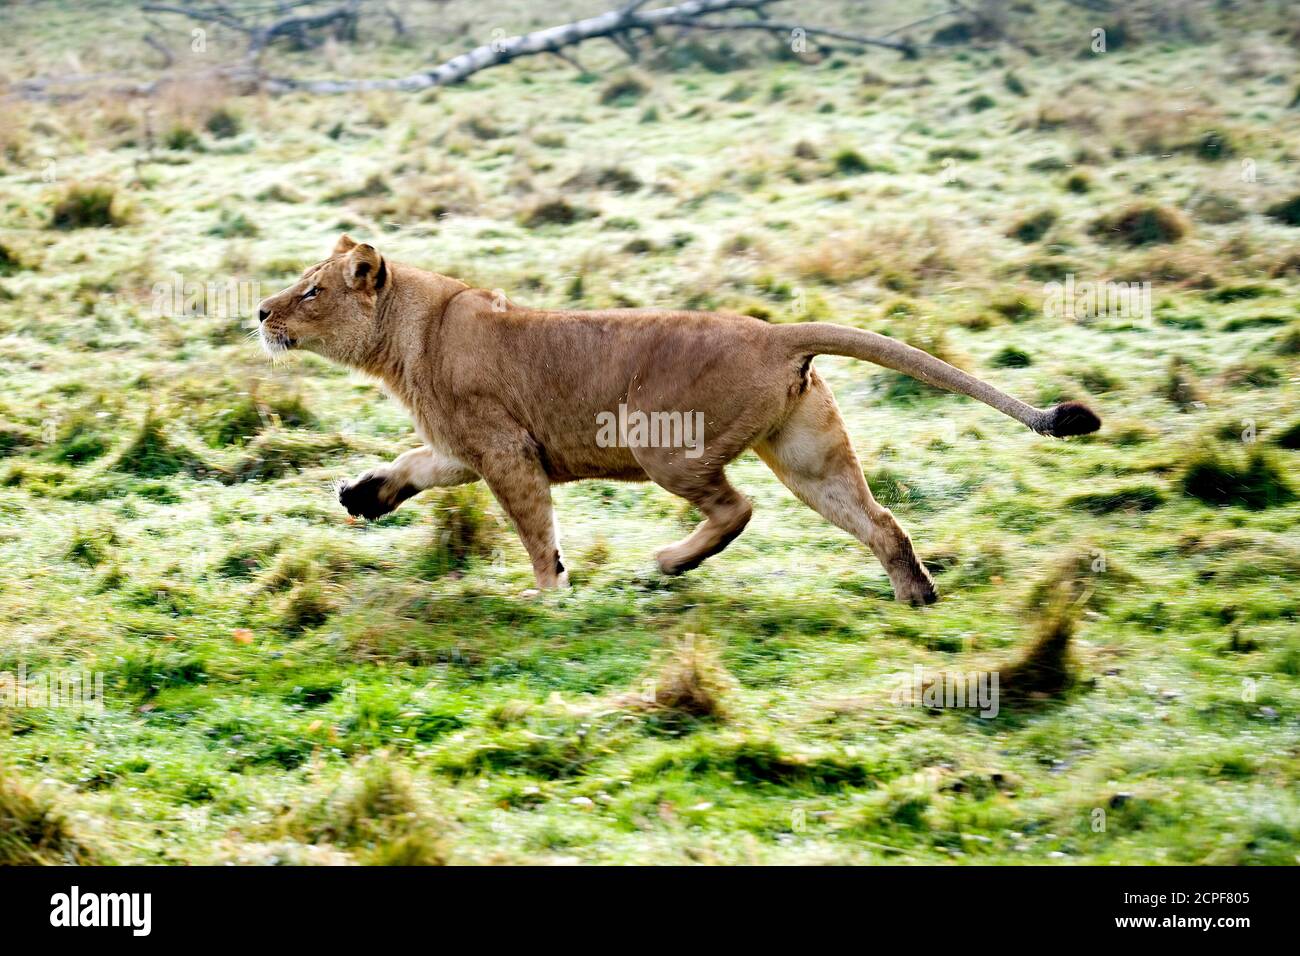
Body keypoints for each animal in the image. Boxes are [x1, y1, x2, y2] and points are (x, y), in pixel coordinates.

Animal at [257, 235, 1100, 604]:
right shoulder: (466, 449)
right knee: (881, 520)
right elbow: (412, 466)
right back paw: (917, 597)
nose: (261, 311)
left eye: (311, 291)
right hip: (810, 458)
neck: (408, 334)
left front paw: (550, 596)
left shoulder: (505, 451)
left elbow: (533, 529)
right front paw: (362, 496)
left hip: (657, 441)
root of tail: (772, 333)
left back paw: (667, 564)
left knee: (737, 507)